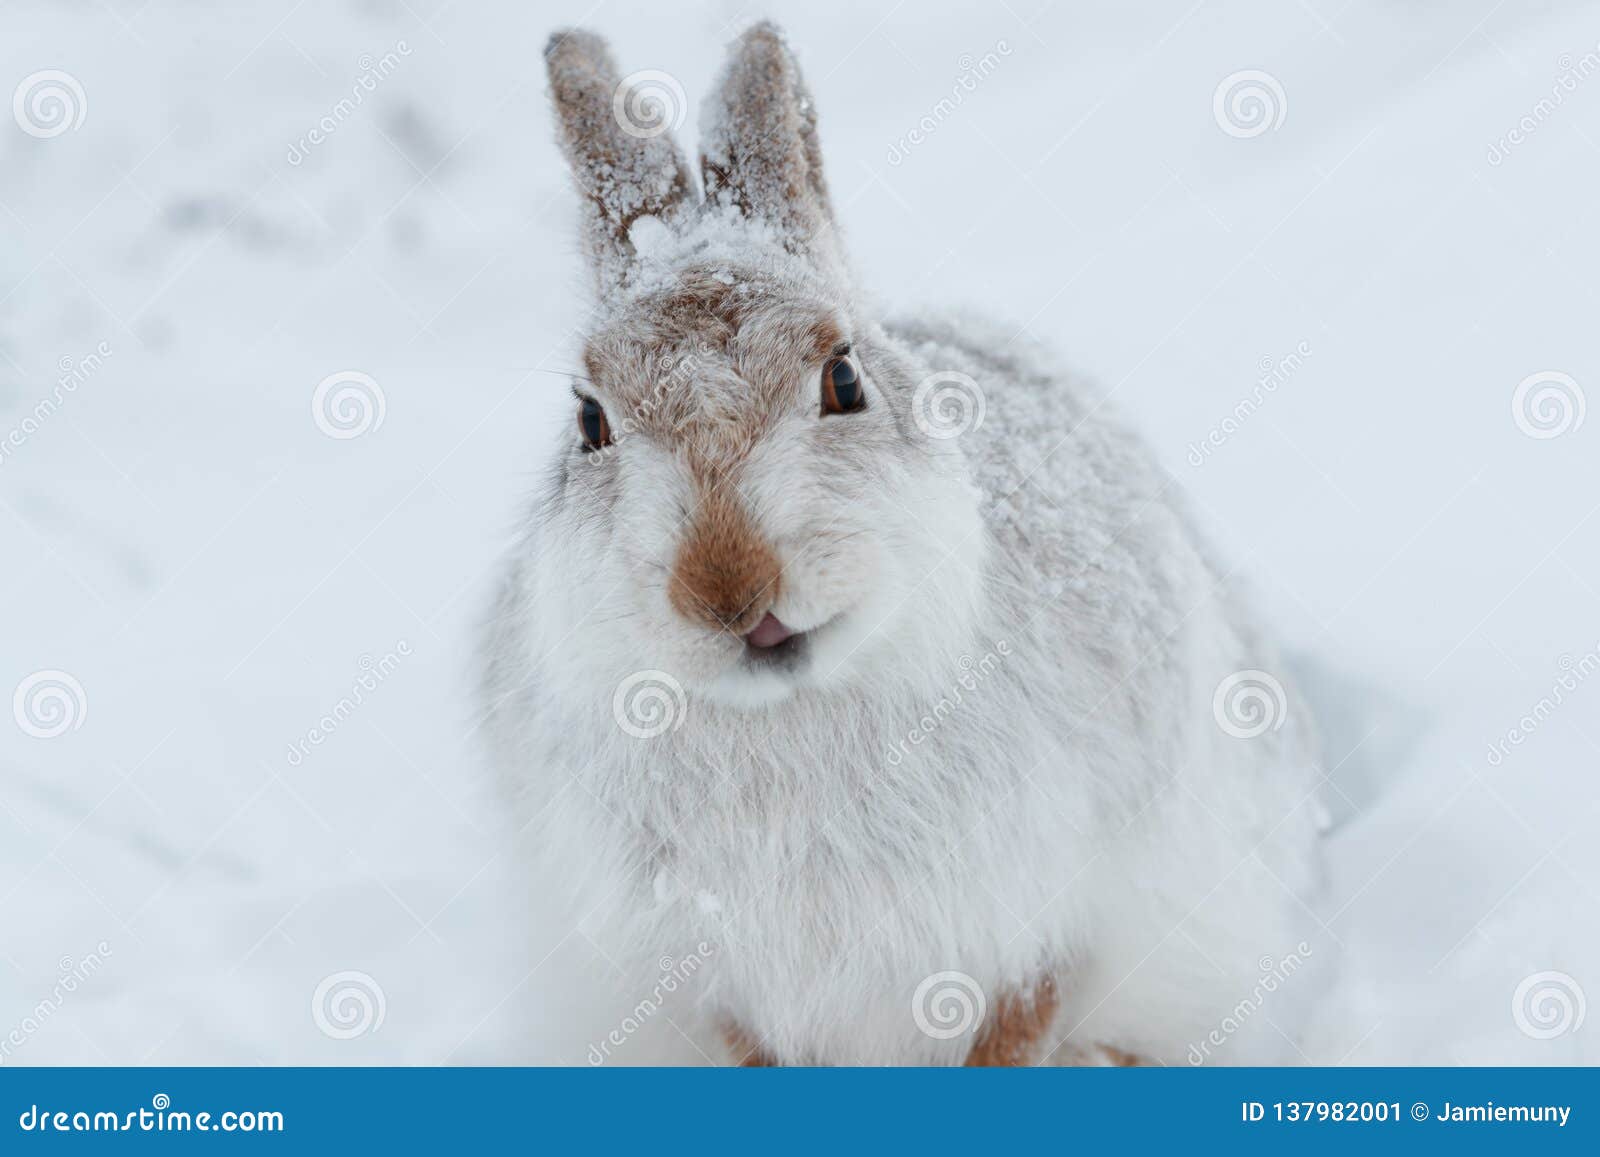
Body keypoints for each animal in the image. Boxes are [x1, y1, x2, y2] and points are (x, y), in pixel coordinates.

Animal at [482, 21, 1329, 1067]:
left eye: (843, 377)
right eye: (590, 420)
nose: (727, 587)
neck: (790, 712)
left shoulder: (1049, 924)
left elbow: (1020, 1027)